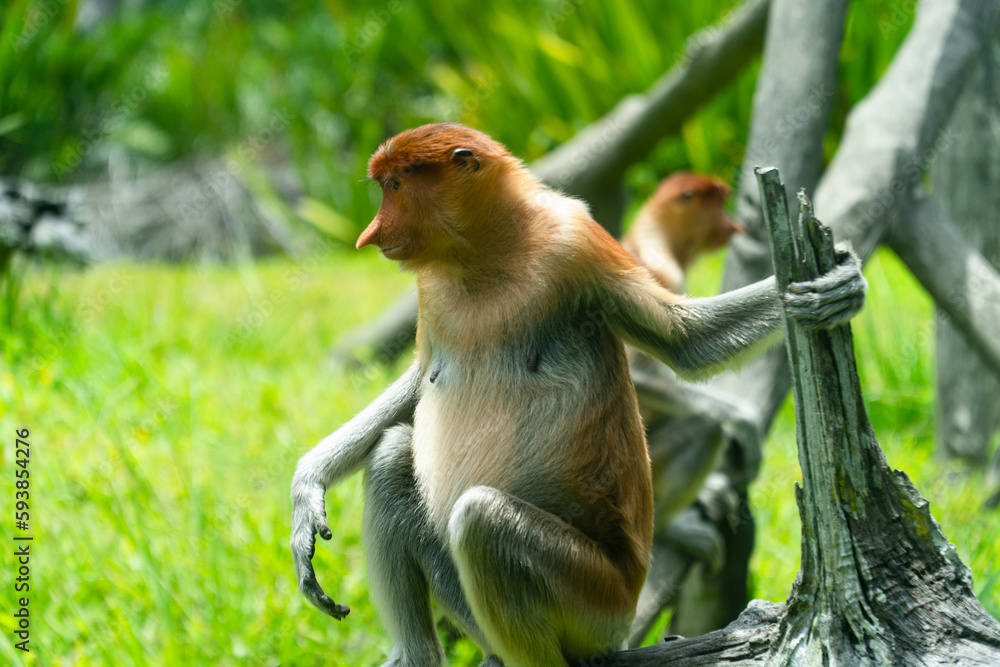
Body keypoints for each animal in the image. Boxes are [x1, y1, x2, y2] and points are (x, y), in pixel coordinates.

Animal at [290, 123, 866, 667]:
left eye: (394, 186)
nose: (369, 236)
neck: (482, 254)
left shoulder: (575, 241)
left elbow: (686, 342)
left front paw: (839, 283)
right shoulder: (430, 292)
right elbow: (418, 381)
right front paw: (307, 491)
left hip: (596, 602)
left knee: (482, 520)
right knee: (391, 457)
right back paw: (420, 655)